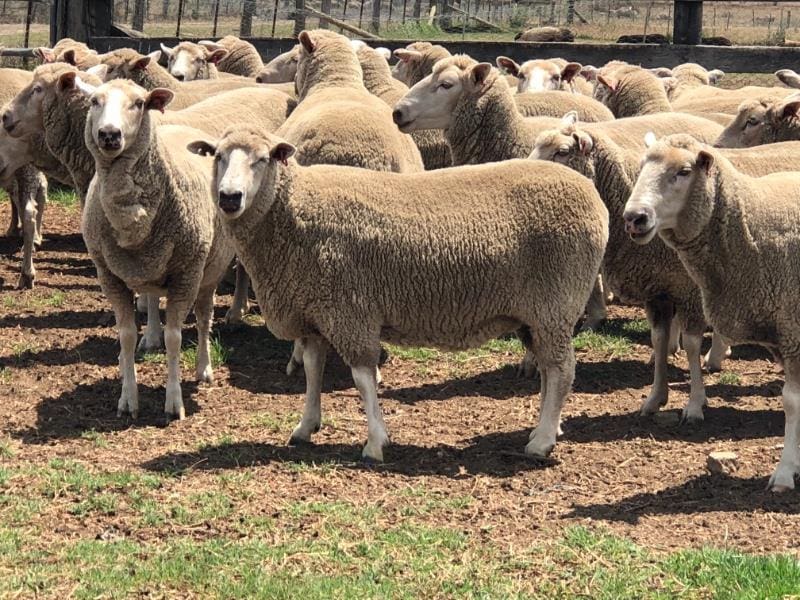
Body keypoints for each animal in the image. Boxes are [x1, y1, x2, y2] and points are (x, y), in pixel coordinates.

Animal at [82, 79, 235, 420]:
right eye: (95, 101)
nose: (109, 134)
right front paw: (128, 397)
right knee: (151, 298)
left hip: (209, 271)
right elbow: (126, 335)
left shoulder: (186, 275)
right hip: (150, 268)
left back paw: (204, 367)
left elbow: (175, 338)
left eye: (139, 103)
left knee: (204, 318)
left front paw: (174, 401)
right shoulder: (109, 276)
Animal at [188, 125, 608, 461]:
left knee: (562, 370)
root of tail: (593, 198)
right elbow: (312, 371)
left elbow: (362, 378)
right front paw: (307, 426)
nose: (229, 197)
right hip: (536, 315)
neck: (293, 212)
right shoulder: (315, 314)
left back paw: (540, 443)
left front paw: (376, 443)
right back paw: (546, 429)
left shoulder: (350, 310)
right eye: (218, 156)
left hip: (555, 303)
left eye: (262, 159)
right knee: (550, 370)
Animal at [532, 116, 800, 422]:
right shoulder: (658, 289)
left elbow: (692, 343)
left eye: (562, 152)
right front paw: (655, 397)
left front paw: (695, 403)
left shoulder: (690, 290)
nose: (635, 218)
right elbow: (657, 339)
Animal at [623, 133, 800, 491]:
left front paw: (785, 472)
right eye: (642, 165)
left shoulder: (792, 330)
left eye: (684, 171)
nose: (634, 217)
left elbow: (791, 401)